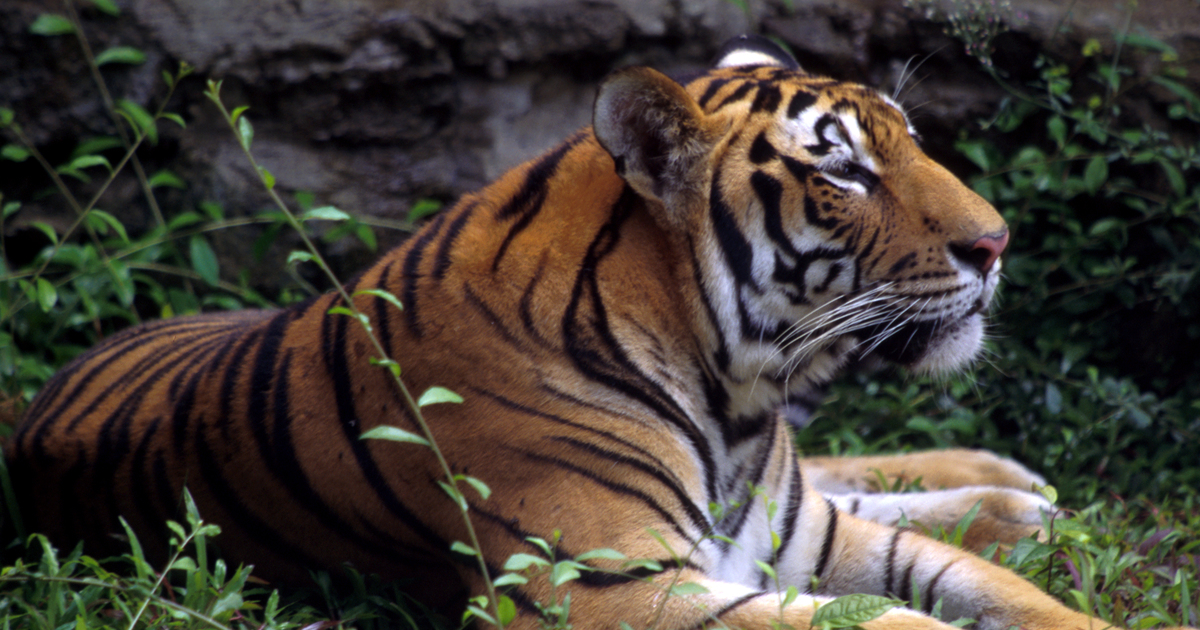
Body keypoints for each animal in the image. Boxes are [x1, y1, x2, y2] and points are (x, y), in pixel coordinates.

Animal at [5, 35, 1181, 630]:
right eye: (843, 170)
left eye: (912, 141)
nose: (998, 242)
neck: (735, 401)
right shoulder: (608, 584)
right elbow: (889, 623)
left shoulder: (799, 533)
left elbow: (992, 588)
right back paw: (1023, 498)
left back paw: (1011, 489)